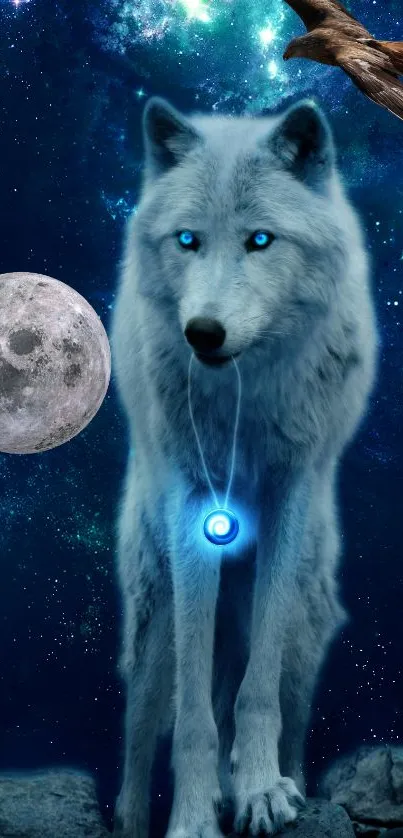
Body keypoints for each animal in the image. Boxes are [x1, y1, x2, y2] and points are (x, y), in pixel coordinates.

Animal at [110, 95, 378, 838]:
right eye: (187, 240)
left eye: (260, 240)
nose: (202, 332)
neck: (242, 396)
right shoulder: (195, 505)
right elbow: (194, 720)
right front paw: (194, 817)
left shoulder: (289, 491)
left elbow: (254, 696)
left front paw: (259, 789)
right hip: (153, 615)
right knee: (139, 735)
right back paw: (136, 815)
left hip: (308, 622)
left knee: (283, 705)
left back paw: (278, 784)